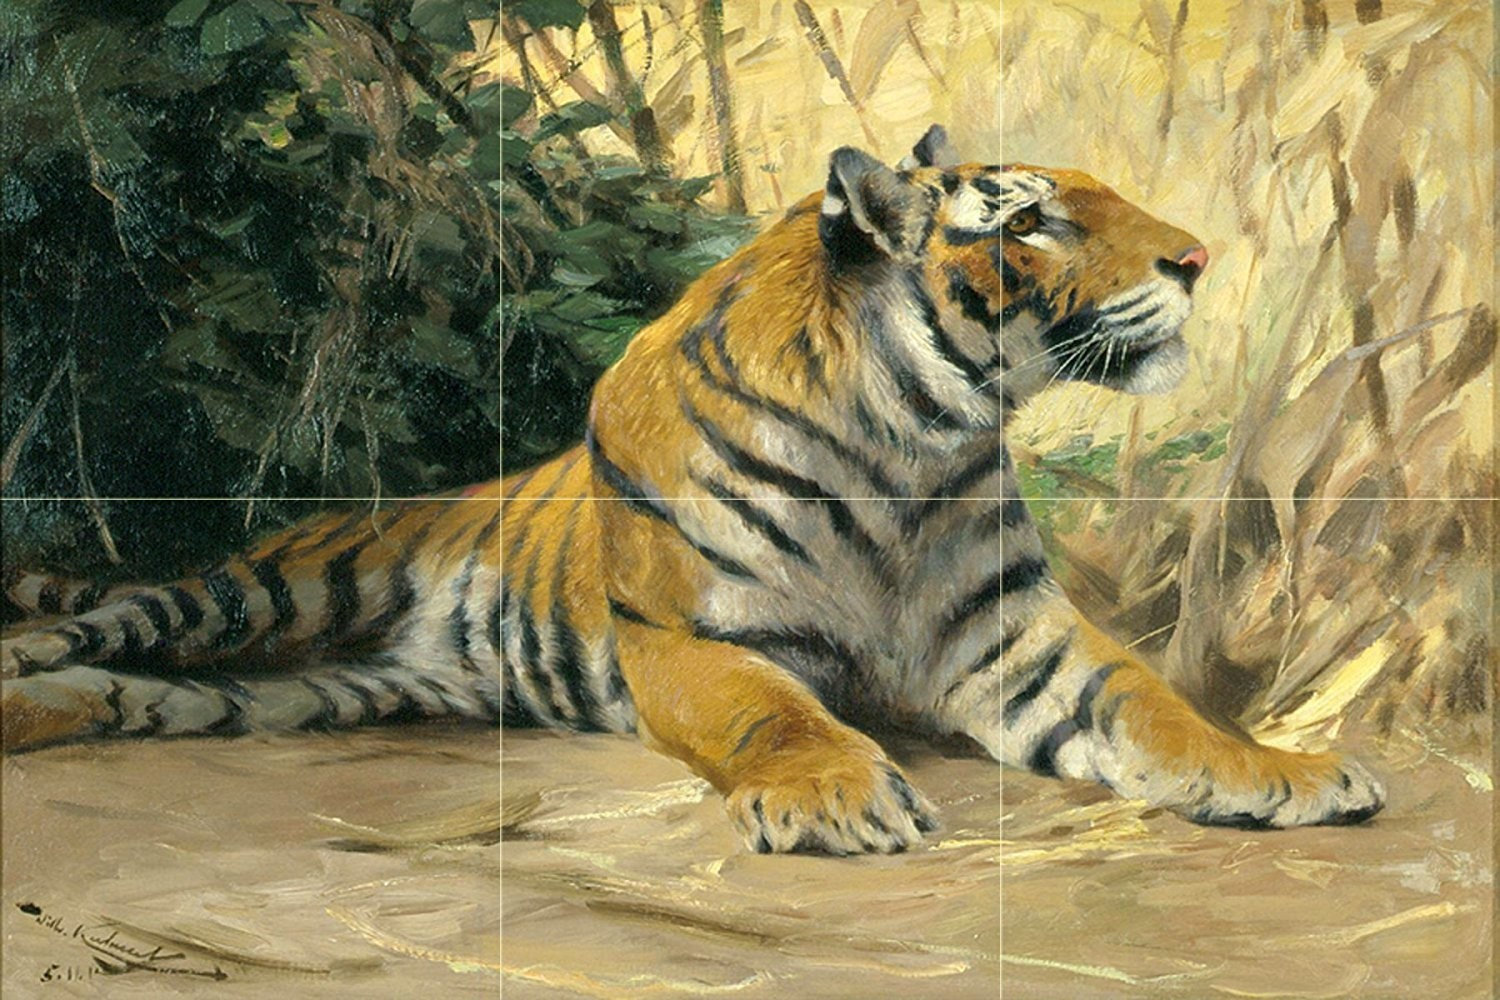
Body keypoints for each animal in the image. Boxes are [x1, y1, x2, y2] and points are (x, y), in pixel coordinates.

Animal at [1, 125, 1384, 854]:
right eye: (1030, 223)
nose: (1197, 259)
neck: (917, 441)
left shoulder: (1013, 639)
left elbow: (1156, 708)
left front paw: (1280, 769)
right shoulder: (693, 635)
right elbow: (771, 715)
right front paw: (835, 794)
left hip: (308, 689)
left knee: (130, 691)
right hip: (270, 589)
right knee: (86, 629)